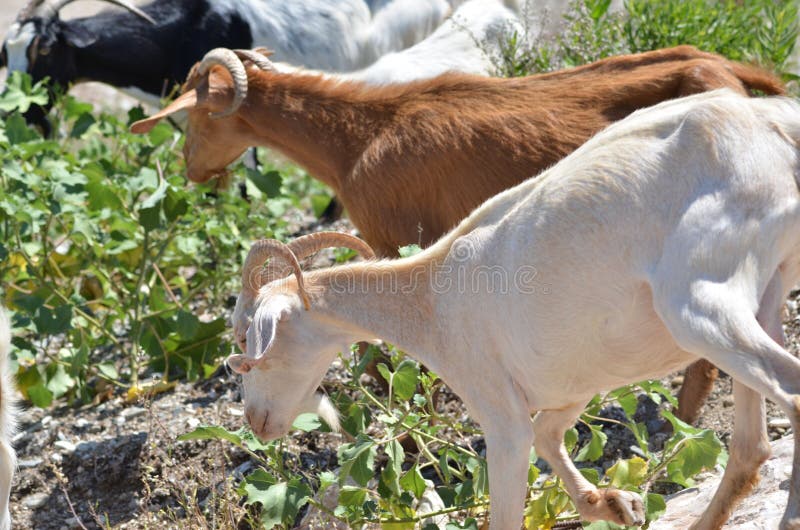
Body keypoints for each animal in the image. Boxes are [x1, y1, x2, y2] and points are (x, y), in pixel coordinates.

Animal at [130, 45, 784, 424]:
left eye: (191, 118)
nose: (192, 172)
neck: (359, 138)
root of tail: (730, 71)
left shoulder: (391, 237)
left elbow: (376, 353)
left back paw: (682, 424)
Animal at [226, 90, 800, 530]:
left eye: (243, 341)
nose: (256, 422)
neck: (430, 297)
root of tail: (772, 128)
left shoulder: (496, 408)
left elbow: (509, 498)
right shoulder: (573, 379)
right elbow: (549, 433)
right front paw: (611, 504)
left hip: (701, 304)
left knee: (789, 392)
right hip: (766, 296)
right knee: (751, 447)